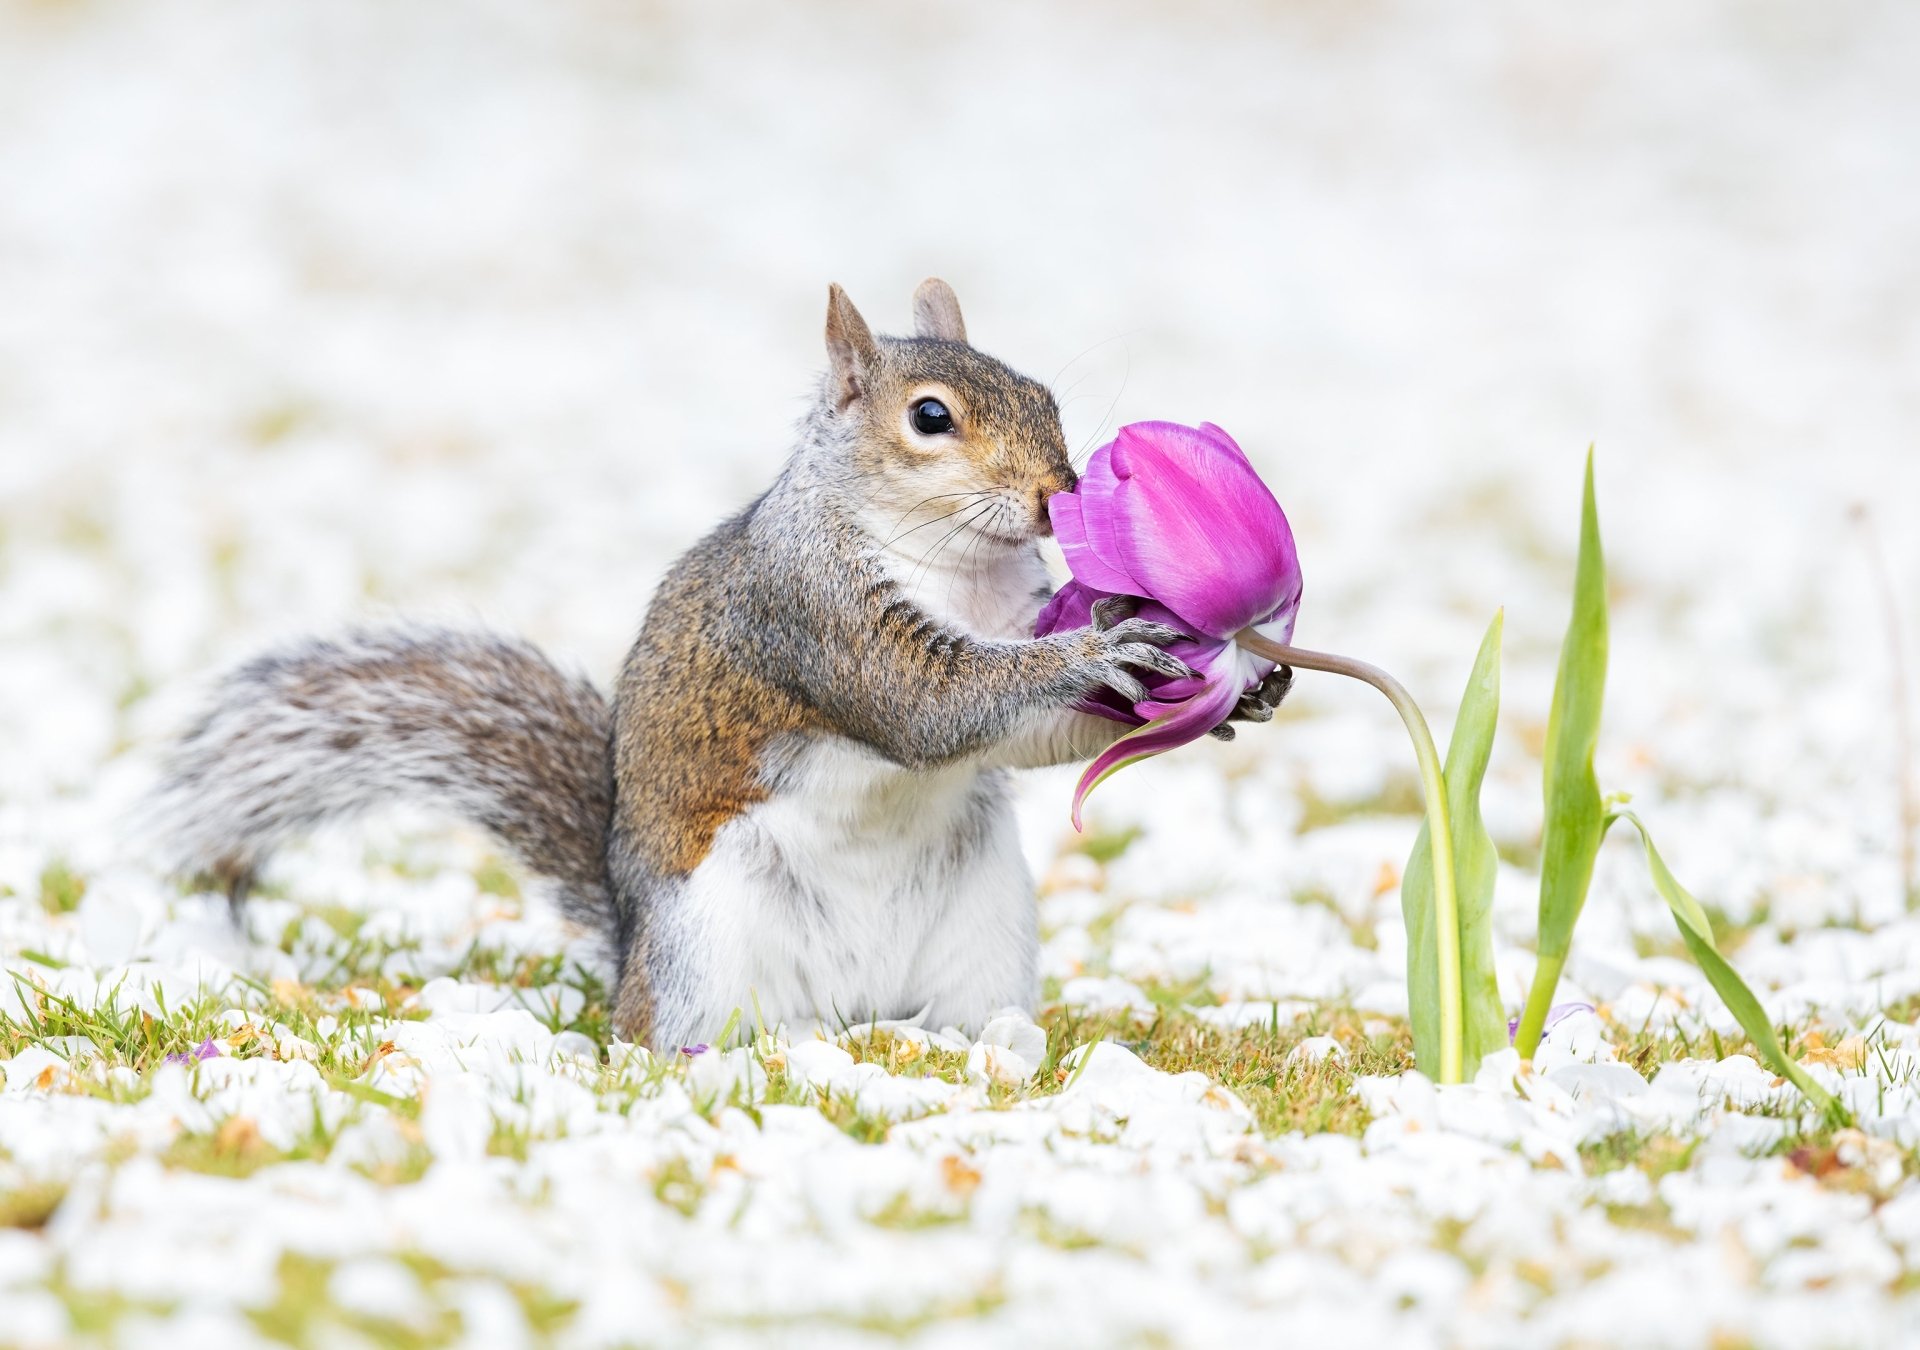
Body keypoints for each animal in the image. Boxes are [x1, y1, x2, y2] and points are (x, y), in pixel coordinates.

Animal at [149, 280, 1291, 1050]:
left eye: (1043, 393)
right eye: (930, 417)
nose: (1062, 494)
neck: (954, 568)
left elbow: (1029, 733)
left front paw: (1245, 684)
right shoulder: (813, 615)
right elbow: (928, 706)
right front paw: (1104, 644)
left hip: (991, 930)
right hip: (707, 940)